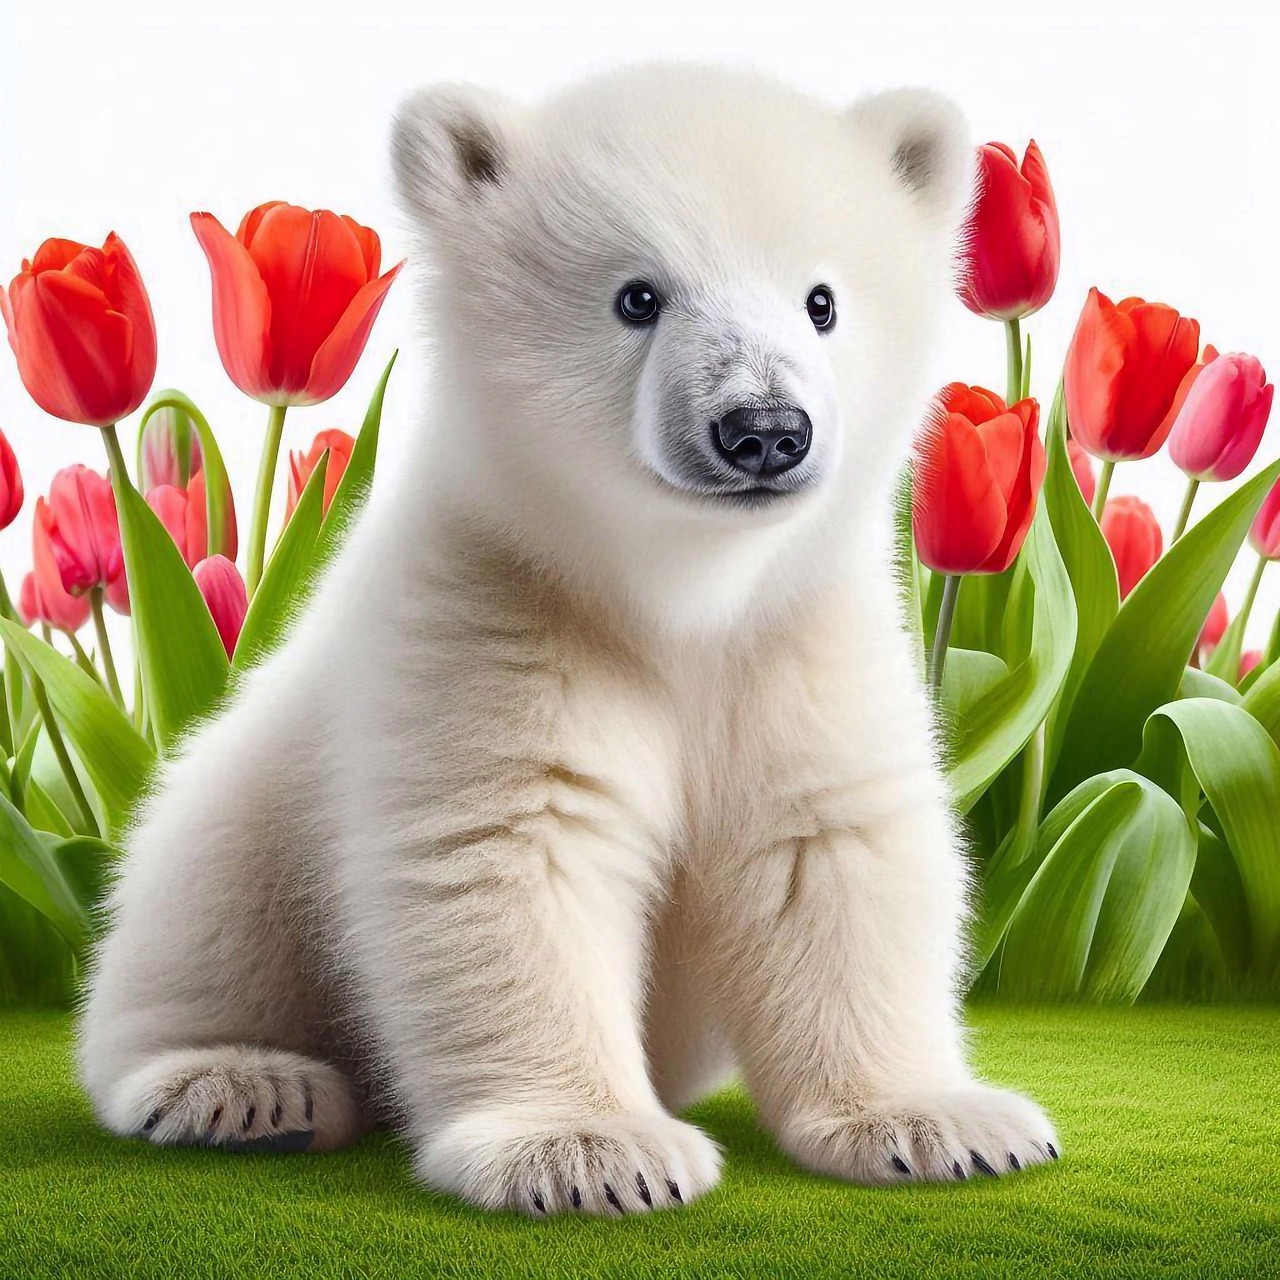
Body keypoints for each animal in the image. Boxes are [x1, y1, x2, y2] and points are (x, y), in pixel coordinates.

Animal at [78, 63, 1059, 1216]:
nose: (764, 430)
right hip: (244, 794)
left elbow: (827, 845)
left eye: (820, 301)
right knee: (201, 907)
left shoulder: (795, 637)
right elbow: (512, 852)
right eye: (638, 296)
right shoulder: (497, 608)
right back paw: (240, 1084)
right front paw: (592, 1149)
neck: (677, 593)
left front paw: (940, 1121)